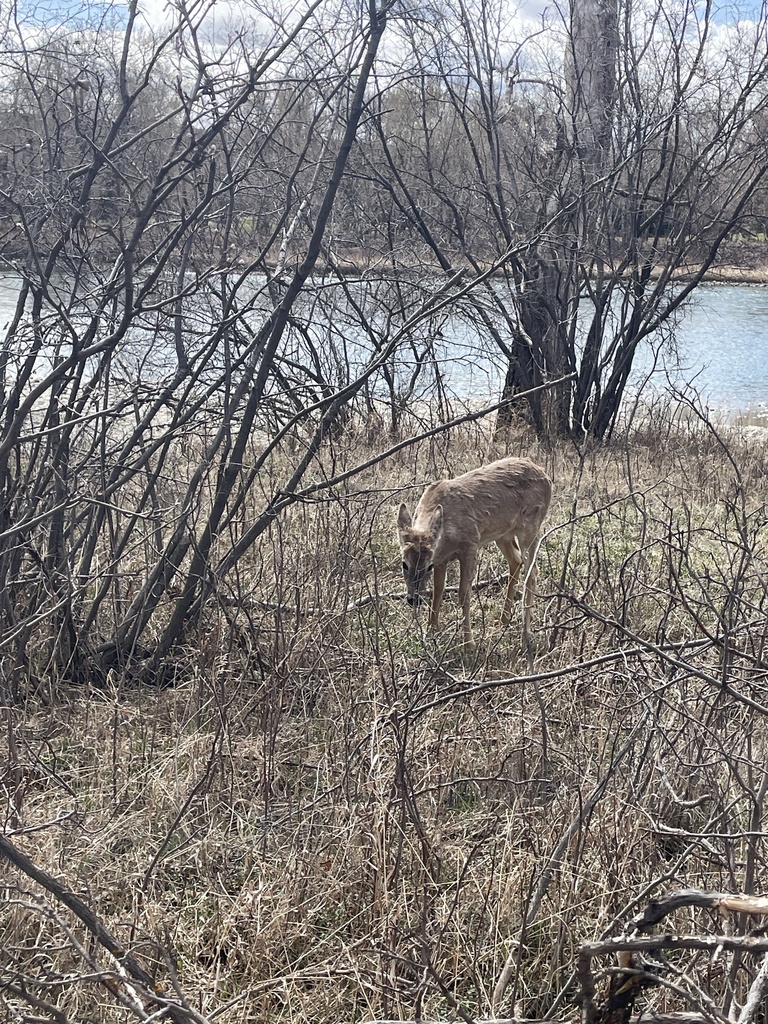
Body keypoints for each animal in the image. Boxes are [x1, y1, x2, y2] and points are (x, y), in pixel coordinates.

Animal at [396, 457, 552, 649]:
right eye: (404, 564)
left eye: (428, 566)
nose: (413, 599)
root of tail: (546, 476)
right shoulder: (442, 558)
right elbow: (438, 591)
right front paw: (431, 632)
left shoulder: (470, 545)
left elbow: (464, 594)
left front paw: (469, 644)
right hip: (503, 534)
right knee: (516, 562)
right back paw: (502, 622)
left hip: (531, 526)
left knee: (532, 572)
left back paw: (526, 635)